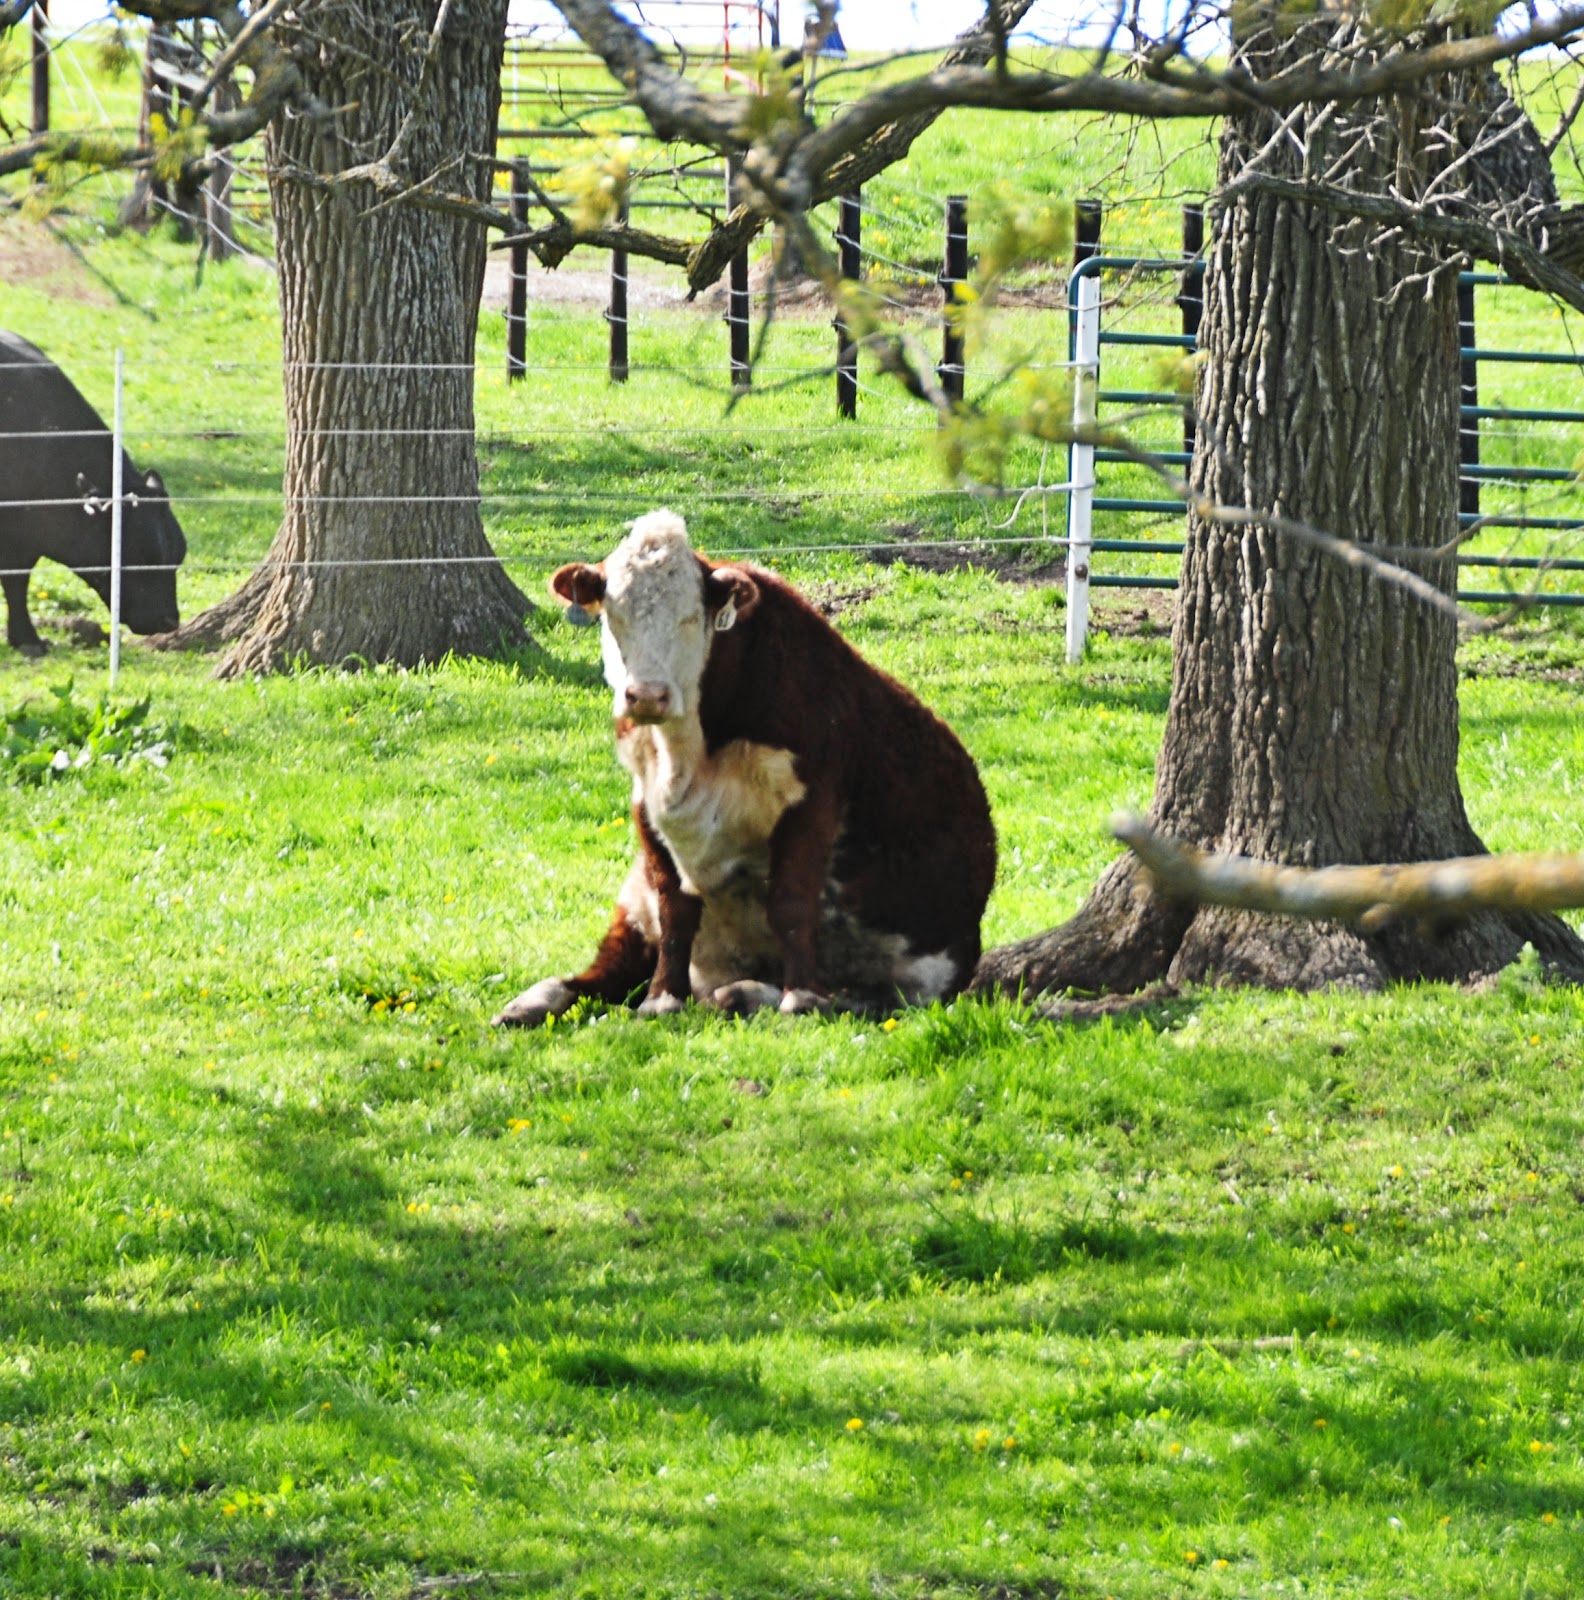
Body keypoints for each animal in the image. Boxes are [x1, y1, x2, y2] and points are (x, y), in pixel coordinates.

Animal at [493, 509, 997, 1026]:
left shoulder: (811, 796)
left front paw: (802, 997)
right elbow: (675, 906)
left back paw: (753, 993)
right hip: (633, 905)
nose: (647, 695)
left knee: (865, 997)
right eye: (615, 617)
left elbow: (792, 900)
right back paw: (535, 1001)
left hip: (924, 975)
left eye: (691, 617)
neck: (689, 755)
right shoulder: (645, 802)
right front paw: (661, 1000)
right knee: (607, 970)